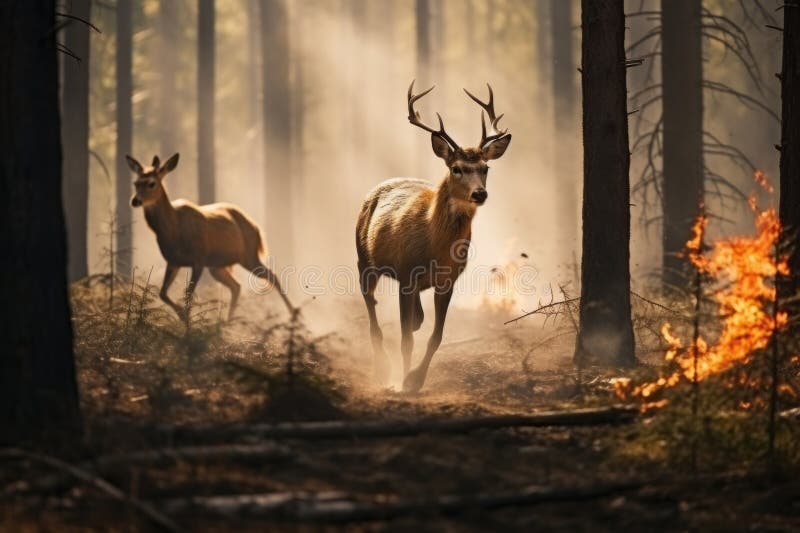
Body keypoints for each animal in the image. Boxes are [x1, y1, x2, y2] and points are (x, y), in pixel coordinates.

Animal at [127, 153, 294, 322]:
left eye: (151, 183)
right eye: (135, 183)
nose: (135, 200)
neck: (173, 230)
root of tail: (256, 227)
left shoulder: (198, 258)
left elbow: (188, 295)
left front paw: (187, 322)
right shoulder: (173, 261)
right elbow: (163, 294)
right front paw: (182, 316)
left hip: (248, 255)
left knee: (272, 276)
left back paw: (294, 316)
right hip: (217, 266)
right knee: (236, 286)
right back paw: (226, 323)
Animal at [355, 81, 512, 393]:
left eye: (485, 168)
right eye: (456, 168)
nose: (480, 193)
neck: (434, 247)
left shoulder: (448, 280)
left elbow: (436, 337)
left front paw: (415, 379)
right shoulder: (405, 274)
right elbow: (406, 340)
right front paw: (404, 380)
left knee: (413, 317)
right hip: (363, 258)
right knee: (370, 305)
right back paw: (382, 369)